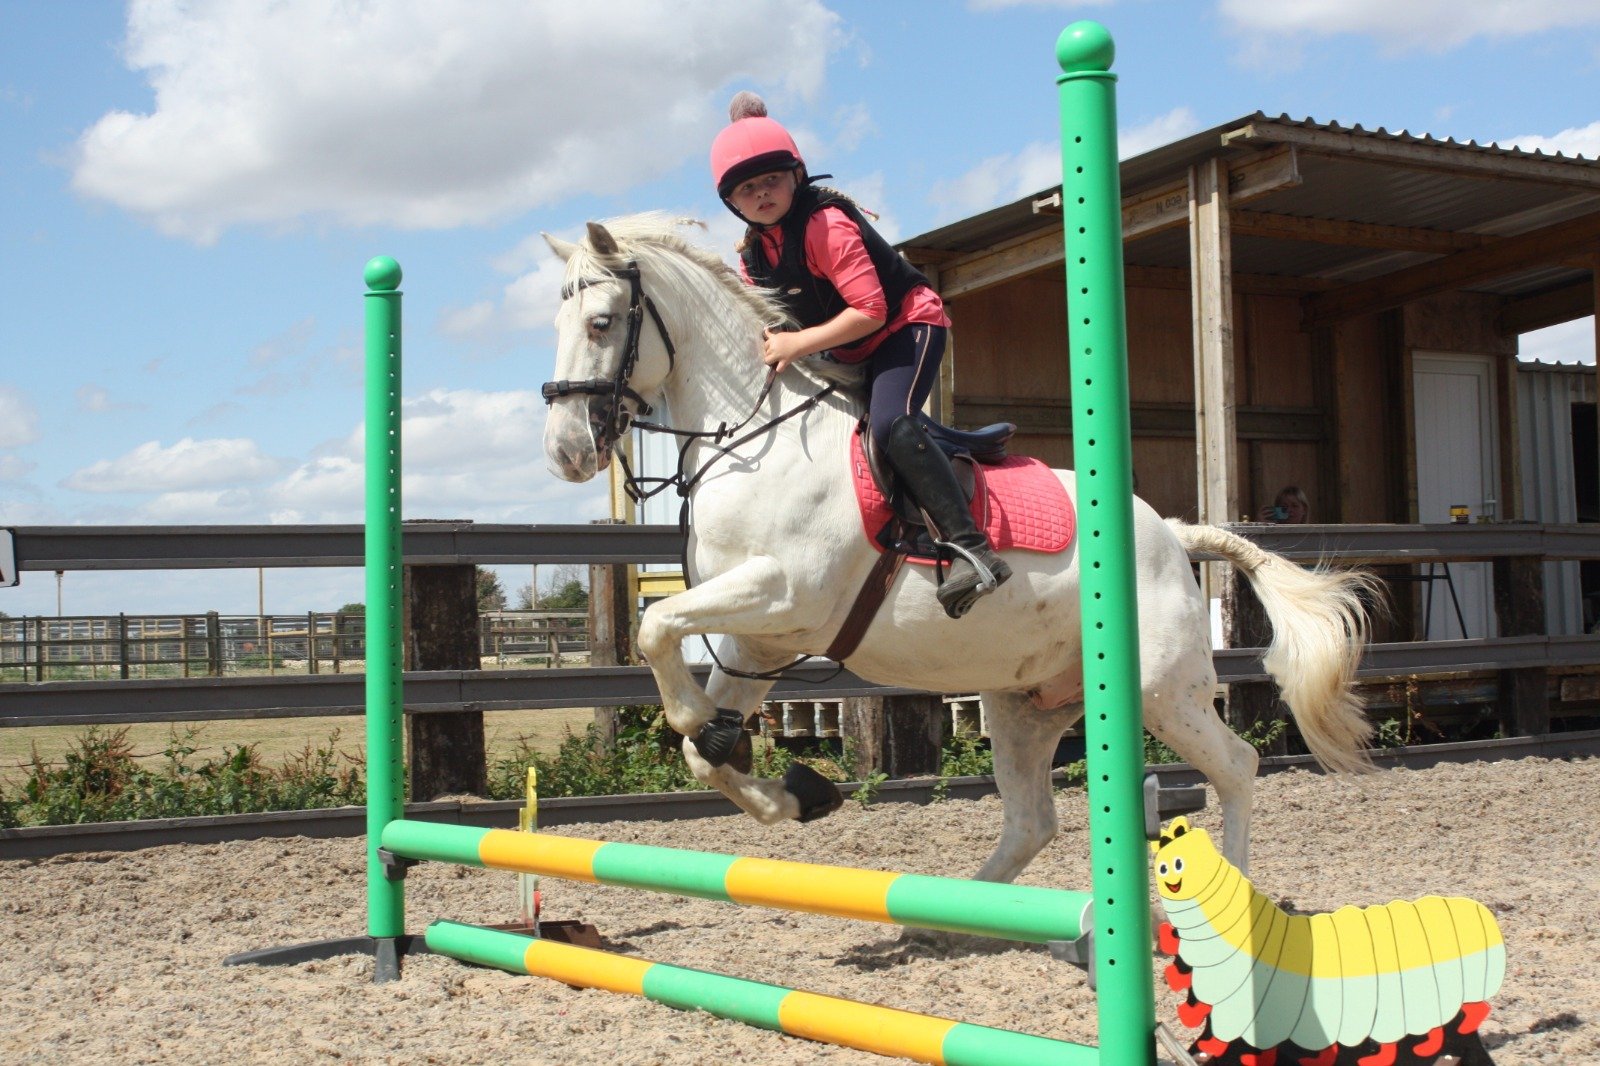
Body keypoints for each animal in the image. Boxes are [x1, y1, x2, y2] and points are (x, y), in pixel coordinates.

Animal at [540, 213, 1375, 882]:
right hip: (1026, 706)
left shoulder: (785, 596)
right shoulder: (759, 640)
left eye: (602, 323)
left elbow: (657, 632)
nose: (566, 452)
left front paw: (697, 720)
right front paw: (798, 792)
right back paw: (946, 919)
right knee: (1033, 820)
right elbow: (699, 744)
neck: (751, 436)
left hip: (1162, 691)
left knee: (1237, 767)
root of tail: (1172, 531)